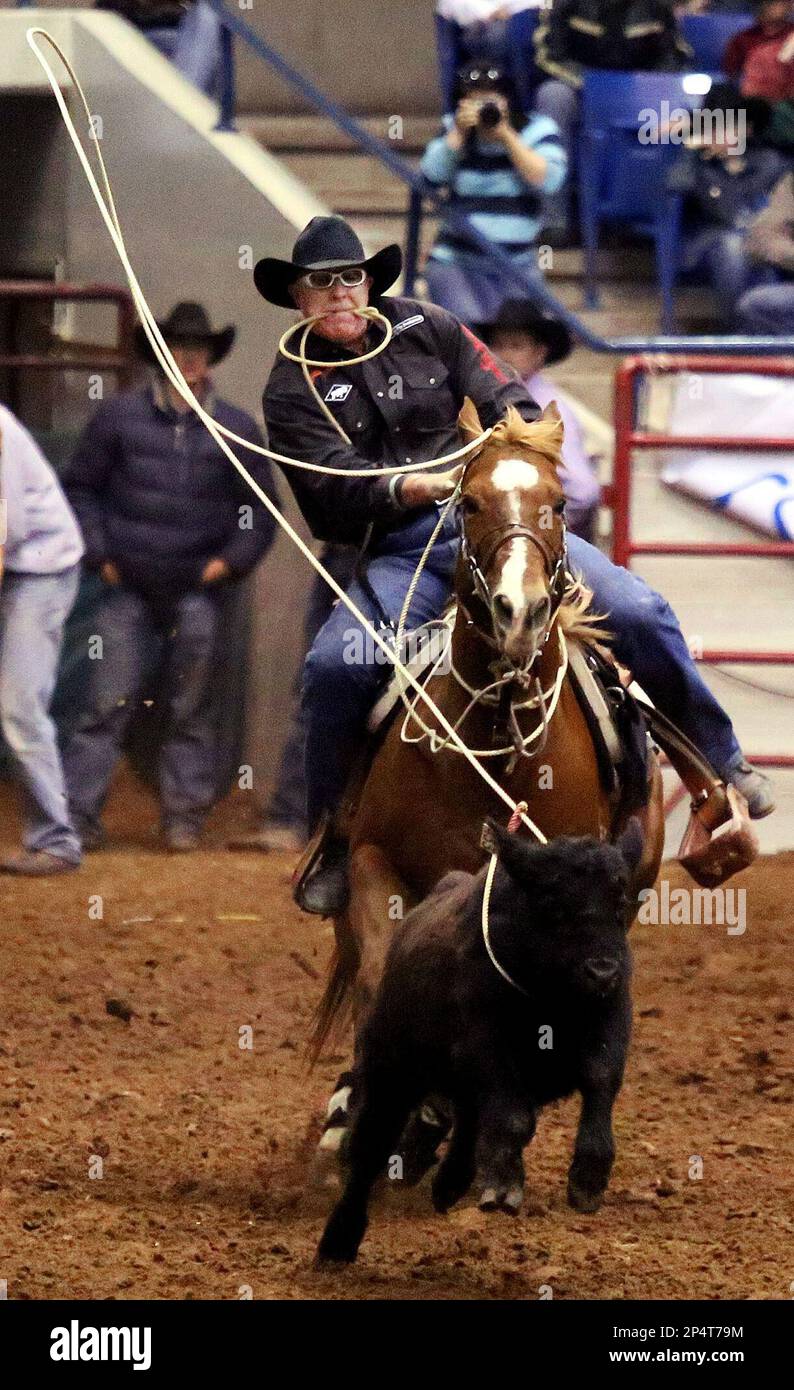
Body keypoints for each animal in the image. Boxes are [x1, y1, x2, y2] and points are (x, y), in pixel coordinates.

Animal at [317, 818, 643, 1264]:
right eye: (552, 900)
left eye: (620, 898)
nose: (603, 970)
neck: (549, 999)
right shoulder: (482, 1046)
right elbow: (515, 1117)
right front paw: (504, 1189)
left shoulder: (608, 1025)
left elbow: (600, 1085)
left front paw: (588, 1182)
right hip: (390, 1077)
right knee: (370, 1151)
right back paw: (339, 1240)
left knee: (467, 1123)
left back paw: (449, 1185)